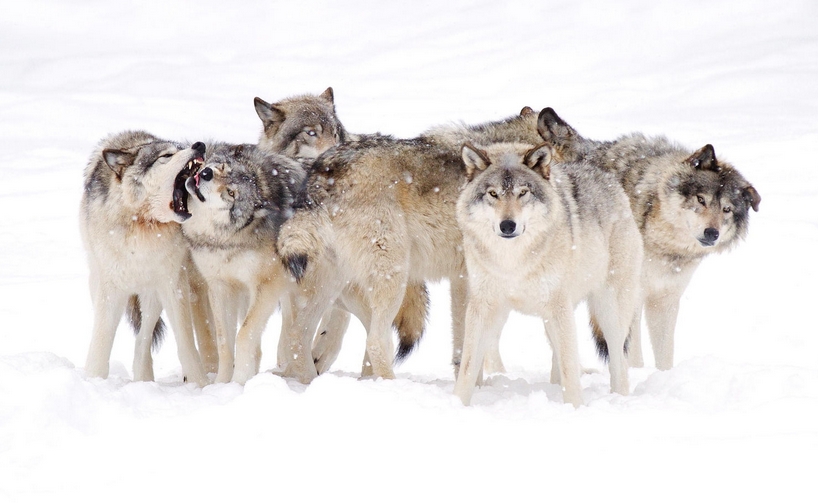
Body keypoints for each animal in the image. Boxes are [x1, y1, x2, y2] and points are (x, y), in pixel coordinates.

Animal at [80, 131, 208, 386]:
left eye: (182, 147)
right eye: (167, 155)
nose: (199, 145)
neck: (144, 225)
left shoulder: (173, 284)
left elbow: (186, 343)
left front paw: (201, 384)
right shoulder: (110, 290)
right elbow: (101, 340)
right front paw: (93, 381)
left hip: (152, 293)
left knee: (143, 338)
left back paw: (144, 379)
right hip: (96, 283)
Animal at [178, 142, 305, 384]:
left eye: (231, 193)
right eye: (222, 167)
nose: (206, 174)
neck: (228, 240)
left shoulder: (268, 285)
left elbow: (244, 333)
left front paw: (239, 381)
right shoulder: (221, 287)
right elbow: (224, 342)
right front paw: (221, 384)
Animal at [275, 109, 545, 384]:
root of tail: (320, 176)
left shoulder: (461, 278)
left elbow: (465, 346)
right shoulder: (469, 276)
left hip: (331, 284)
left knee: (297, 338)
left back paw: (311, 383)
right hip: (391, 276)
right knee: (375, 341)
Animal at [452, 143, 643, 406]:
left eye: (523, 192)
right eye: (493, 194)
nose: (507, 225)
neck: (513, 261)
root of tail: (608, 178)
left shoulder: (558, 307)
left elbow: (570, 368)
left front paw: (574, 408)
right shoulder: (482, 306)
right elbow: (468, 365)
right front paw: (457, 405)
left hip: (608, 311)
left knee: (618, 362)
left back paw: (619, 398)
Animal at [537, 108, 761, 370]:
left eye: (726, 209)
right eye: (701, 199)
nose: (711, 233)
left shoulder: (665, 300)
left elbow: (665, 354)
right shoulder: (632, 293)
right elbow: (632, 351)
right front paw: (636, 372)